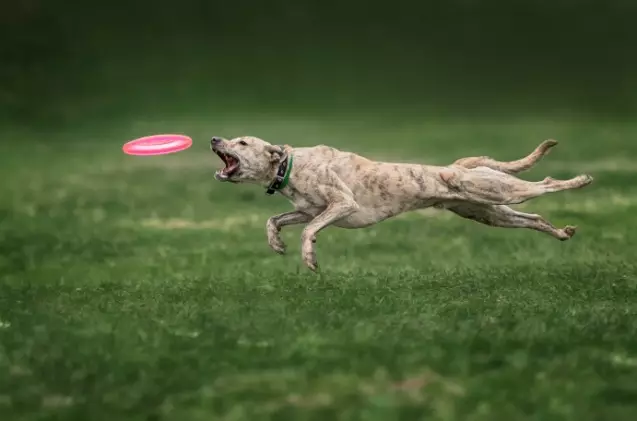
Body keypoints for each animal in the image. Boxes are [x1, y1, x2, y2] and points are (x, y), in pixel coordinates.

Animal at [211, 136, 592, 270]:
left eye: (242, 142)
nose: (215, 138)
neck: (288, 165)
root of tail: (460, 167)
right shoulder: (307, 210)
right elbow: (275, 220)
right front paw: (276, 243)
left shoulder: (342, 205)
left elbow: (309, 231)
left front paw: (309, 257)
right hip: (489, 212)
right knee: (535, 217)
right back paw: (562, 232)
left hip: (501, 191)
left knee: (545, 184)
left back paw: (580, 180)